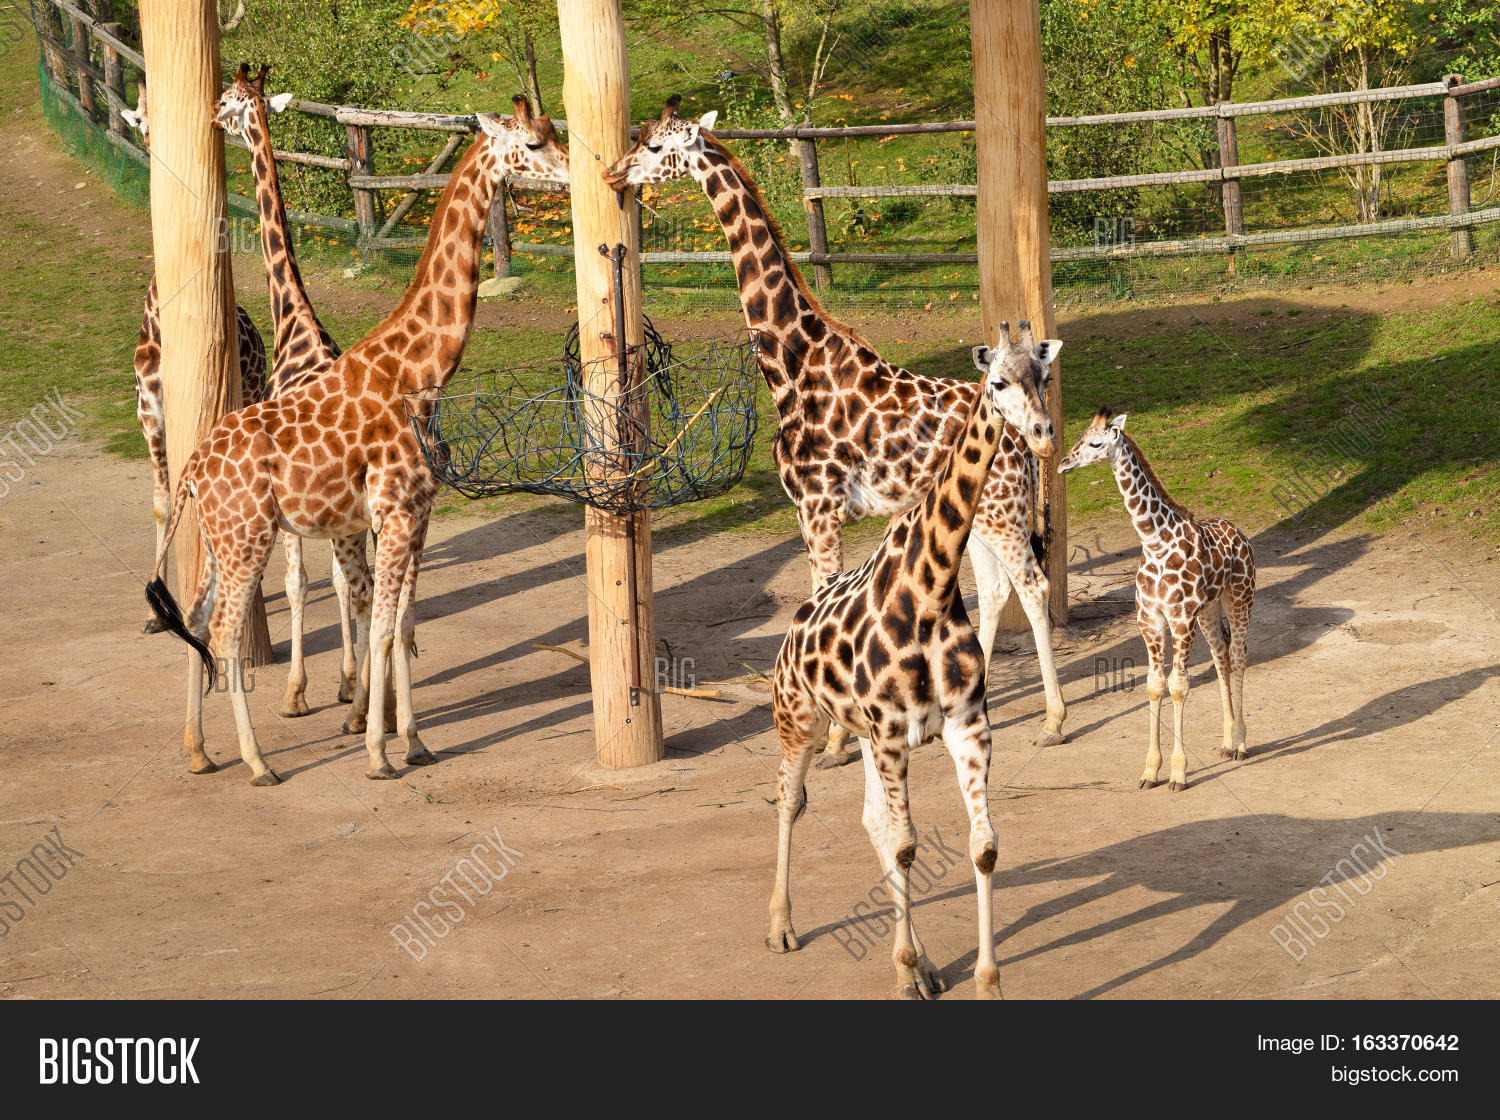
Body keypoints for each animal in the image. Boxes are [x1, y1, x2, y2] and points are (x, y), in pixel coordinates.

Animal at [143, 96, 569, 784]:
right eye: (532, 144)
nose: (577, 169)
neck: (421, 370)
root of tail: (192, 472)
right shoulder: (393, 511)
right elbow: (385, 623)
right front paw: (377, 750)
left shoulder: (414, 513)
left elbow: (401, 622)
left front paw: (412, 739)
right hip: (249, 537)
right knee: (229, 631)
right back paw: (259, 762)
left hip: (219, 539)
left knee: (198, 621)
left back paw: (198, 751)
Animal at [604, 98, 1067, 767]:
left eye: (657, 148)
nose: (613, 171)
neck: (790, 363)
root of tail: (1023, 444)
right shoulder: (810, 509)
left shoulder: (818, 506)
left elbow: (821, 597)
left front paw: (834, 741)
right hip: (981, 513)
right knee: (996, 589)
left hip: (1004, 511)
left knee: (1031, 586)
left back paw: (1054, 720)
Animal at [766, 322, 1058, 1000]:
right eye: (996, 382)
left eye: (1044, 374)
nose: (1040, 433)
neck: (931, 588)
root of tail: (794, 624)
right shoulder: (893, 734)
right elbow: (905, 847)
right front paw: (901, 973)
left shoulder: (964, 726)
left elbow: (982, 847)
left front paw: (983, 982)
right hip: (800, 720)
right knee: (790, 799)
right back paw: (782, 927)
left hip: (861, 735)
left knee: (872, 819)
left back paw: (923, 963)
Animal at [1058, 409, 1255, 791]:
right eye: (1080, 436)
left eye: (1096, 443)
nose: (1063, 463)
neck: (1154, 543)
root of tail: (1240, 533)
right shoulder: (1150, 619)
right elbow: (1153, 686)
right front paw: (1150, 771)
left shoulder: (1180, 619)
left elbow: (1178, 686)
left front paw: (1178, 772)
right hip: (1210, 611)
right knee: (1221, 657)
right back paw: (1227, 742)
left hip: (1240, 598)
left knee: (1239, 656)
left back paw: (1240, 743)